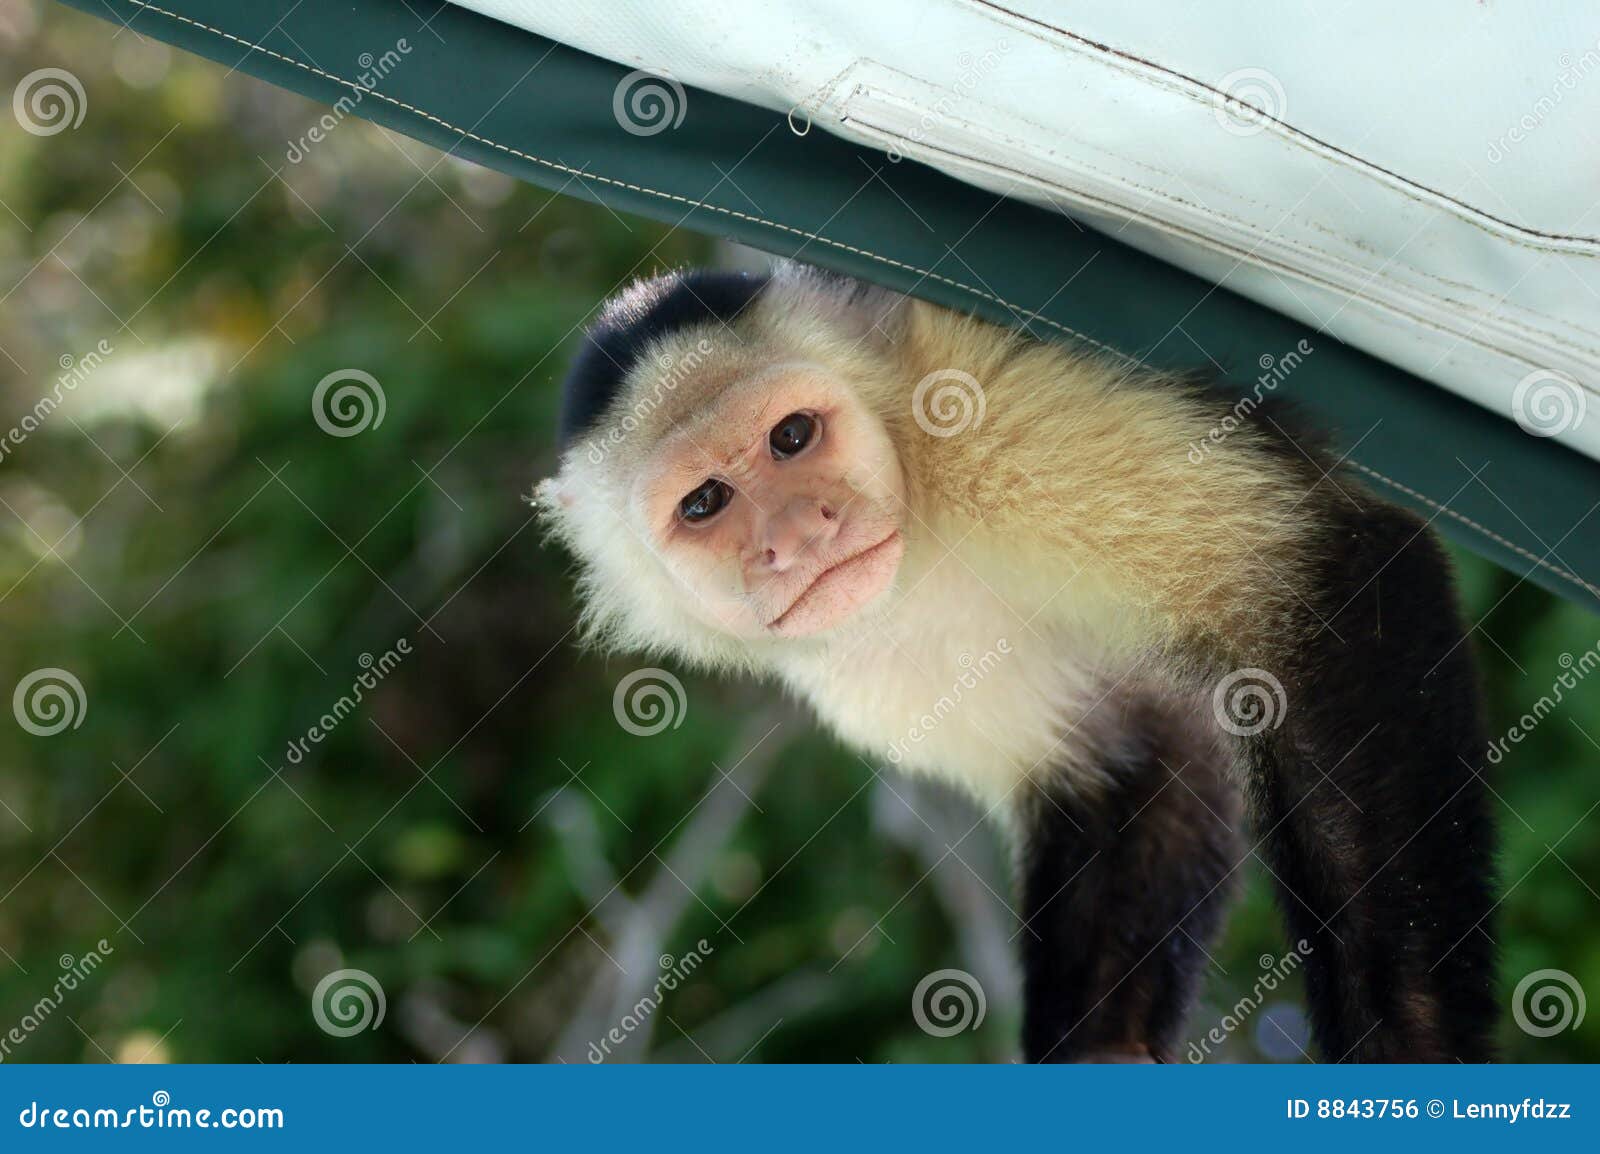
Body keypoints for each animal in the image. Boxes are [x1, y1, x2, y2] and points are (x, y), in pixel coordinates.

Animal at [535, 261, 1498, 1063]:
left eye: (794, 436)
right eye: (704, 502)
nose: (797, 532)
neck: (923, 529)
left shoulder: (981, 404)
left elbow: (1334, 580)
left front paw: (1405, 1050)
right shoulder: (852, 666)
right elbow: (1130, 752)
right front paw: (1101, 1053)